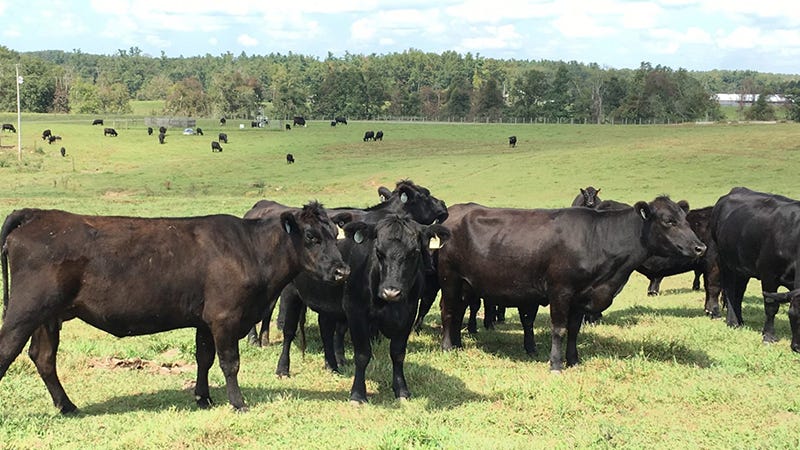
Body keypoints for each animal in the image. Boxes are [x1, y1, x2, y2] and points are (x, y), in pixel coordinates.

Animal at [0, 203, 350, 413]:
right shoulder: (225, 317)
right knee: (9, 351)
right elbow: (230, 363)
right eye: (311, 236)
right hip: (25, 310)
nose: (342, 271)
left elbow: (204, 359)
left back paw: (67, 406)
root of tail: (35, 214)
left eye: (335, 234)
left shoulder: (204, 320)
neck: (250, 249)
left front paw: (203, 397)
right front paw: (238, 403)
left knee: (43, 358)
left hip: (48, 317)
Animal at [436, 197, 706, 372]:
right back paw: (448, 347)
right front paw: (556, 364)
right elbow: (559, 329)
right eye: (668, 220)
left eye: (685, 219)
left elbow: (574, 330)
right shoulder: (561, 291)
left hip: (467, 284)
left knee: (458, 312)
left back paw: (458, 344)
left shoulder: (582, 296)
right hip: (450, 279)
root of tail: (455, 212)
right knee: (448, 312)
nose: (700, 247)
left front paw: (573, 360)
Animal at [711, 187, 800, 351]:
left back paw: (740, 320)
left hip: (742, 268)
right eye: (792, 315)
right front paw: (768, 336)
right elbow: (771, 306)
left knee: (739, 293)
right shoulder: (769, 275)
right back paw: (732, 322)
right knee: (730, 291)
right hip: (724, 261)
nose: (797, 347)